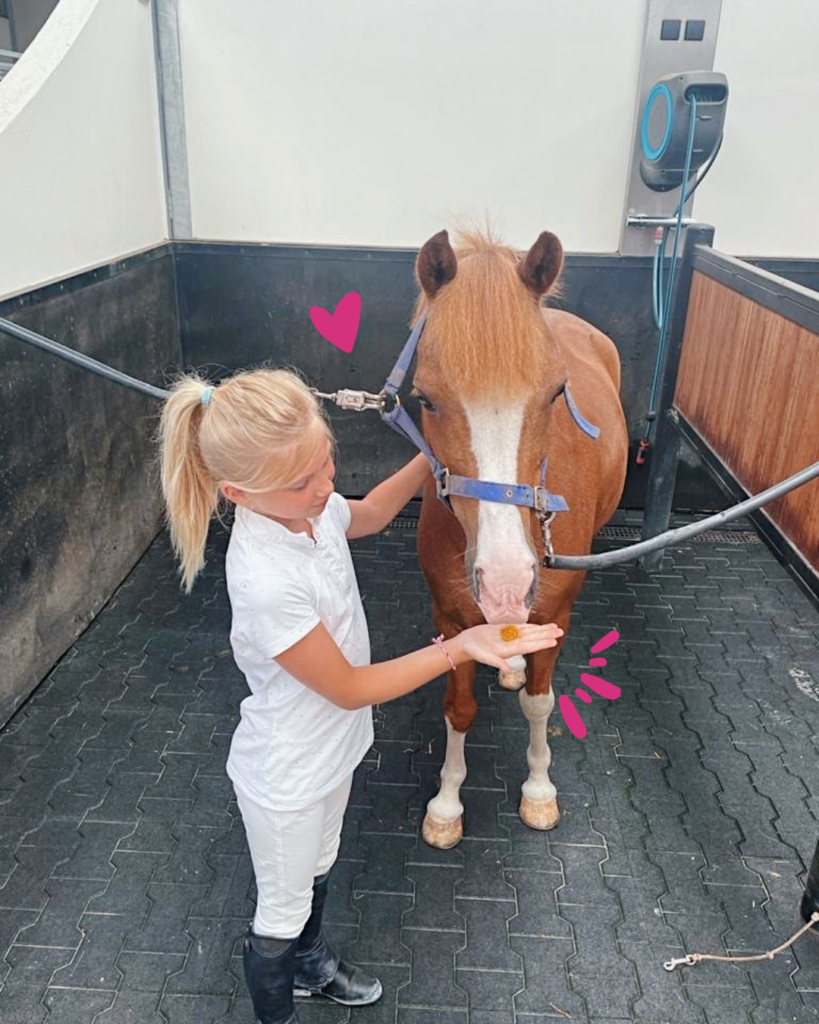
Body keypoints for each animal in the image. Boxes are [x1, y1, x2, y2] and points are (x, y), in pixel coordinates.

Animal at [411, 227, 628, 849]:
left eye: (557, 392)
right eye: (424, 397)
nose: (507, 580)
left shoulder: (553, 615)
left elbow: (539, 704)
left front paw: (538, 790)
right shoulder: (449, 615)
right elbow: (458, 707)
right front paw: (447, 805)